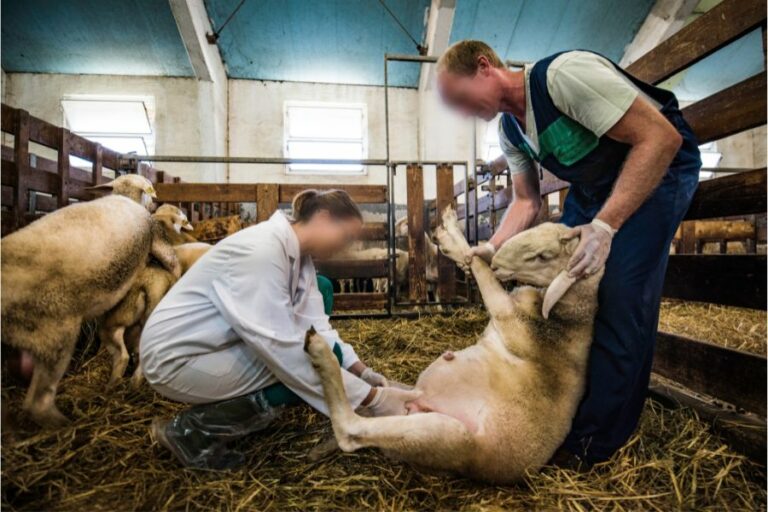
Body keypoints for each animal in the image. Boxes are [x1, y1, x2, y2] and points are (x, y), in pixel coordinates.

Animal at [1, 174, 181, 427]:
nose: (155, 204)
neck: (125, 196)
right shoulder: (153, 234)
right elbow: (172, 263)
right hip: (55, 333)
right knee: (39, 403)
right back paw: (68, 422)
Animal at [304, 206, 604, 483]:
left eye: (543, 256)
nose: (497, 262)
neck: (568, 316)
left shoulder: (512, 320)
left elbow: (482, 272)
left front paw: (452, 234)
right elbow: (475, 263)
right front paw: (452, 237)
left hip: (442, 434)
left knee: (350, 430)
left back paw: (320, 353)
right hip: (410, 401)